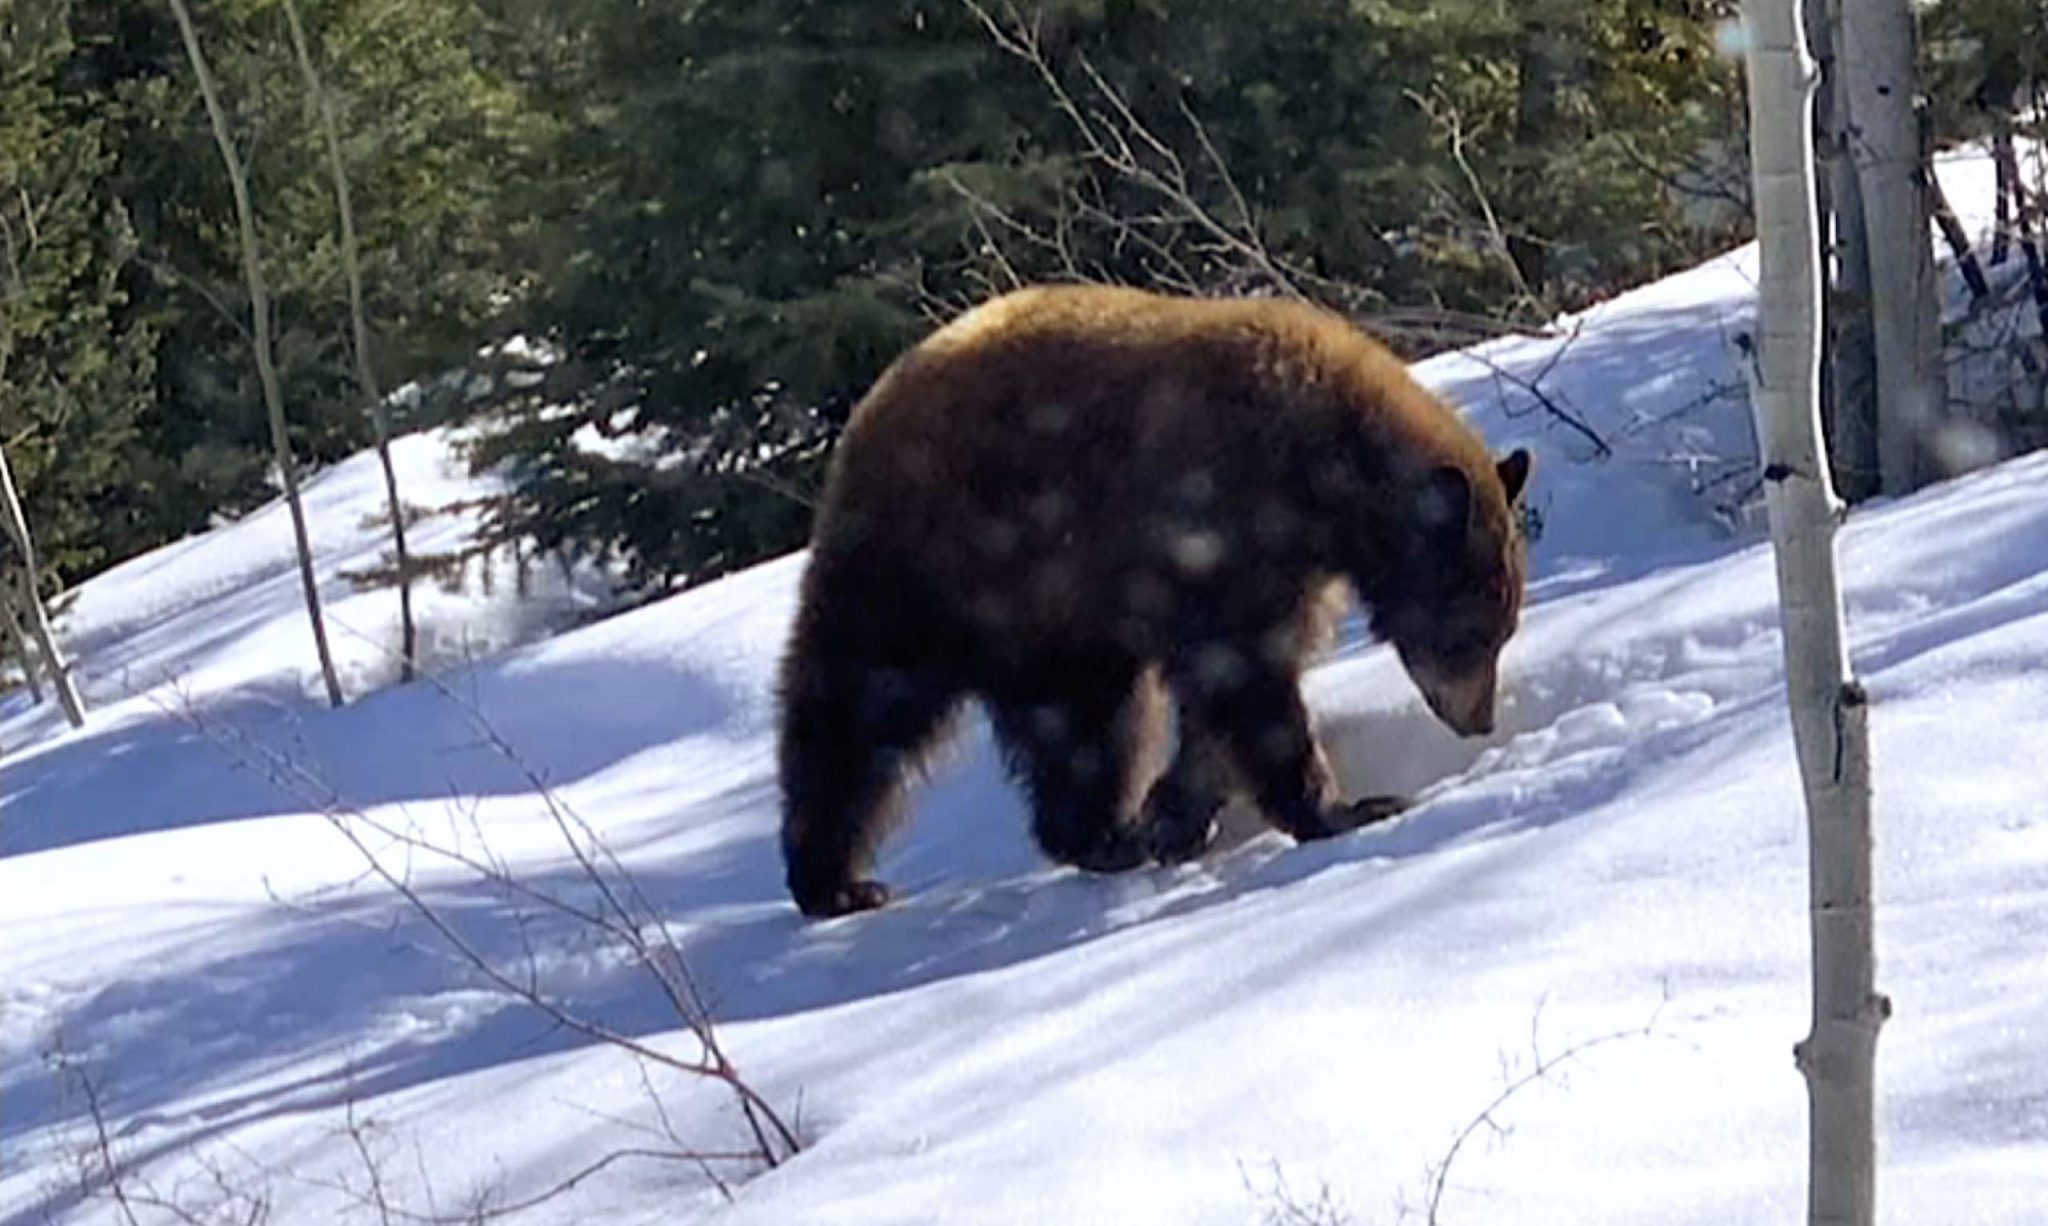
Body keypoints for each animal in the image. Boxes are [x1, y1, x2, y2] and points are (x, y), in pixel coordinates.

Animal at [777, 285, 1531, 918]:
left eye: (1503, 631)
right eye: (1470, 632)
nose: (1480, 719)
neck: (1322, 474)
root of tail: (871, 407)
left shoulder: (1270, 569)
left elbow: (1221, 694)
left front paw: (1175, 814)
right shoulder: (1216, 521)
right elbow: (1246, 681)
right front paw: (1348, 807)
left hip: (1048, 615)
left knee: (1084, 722)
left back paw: (1101, 835)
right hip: (938, 564)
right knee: (857, 706)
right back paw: (834, 880)